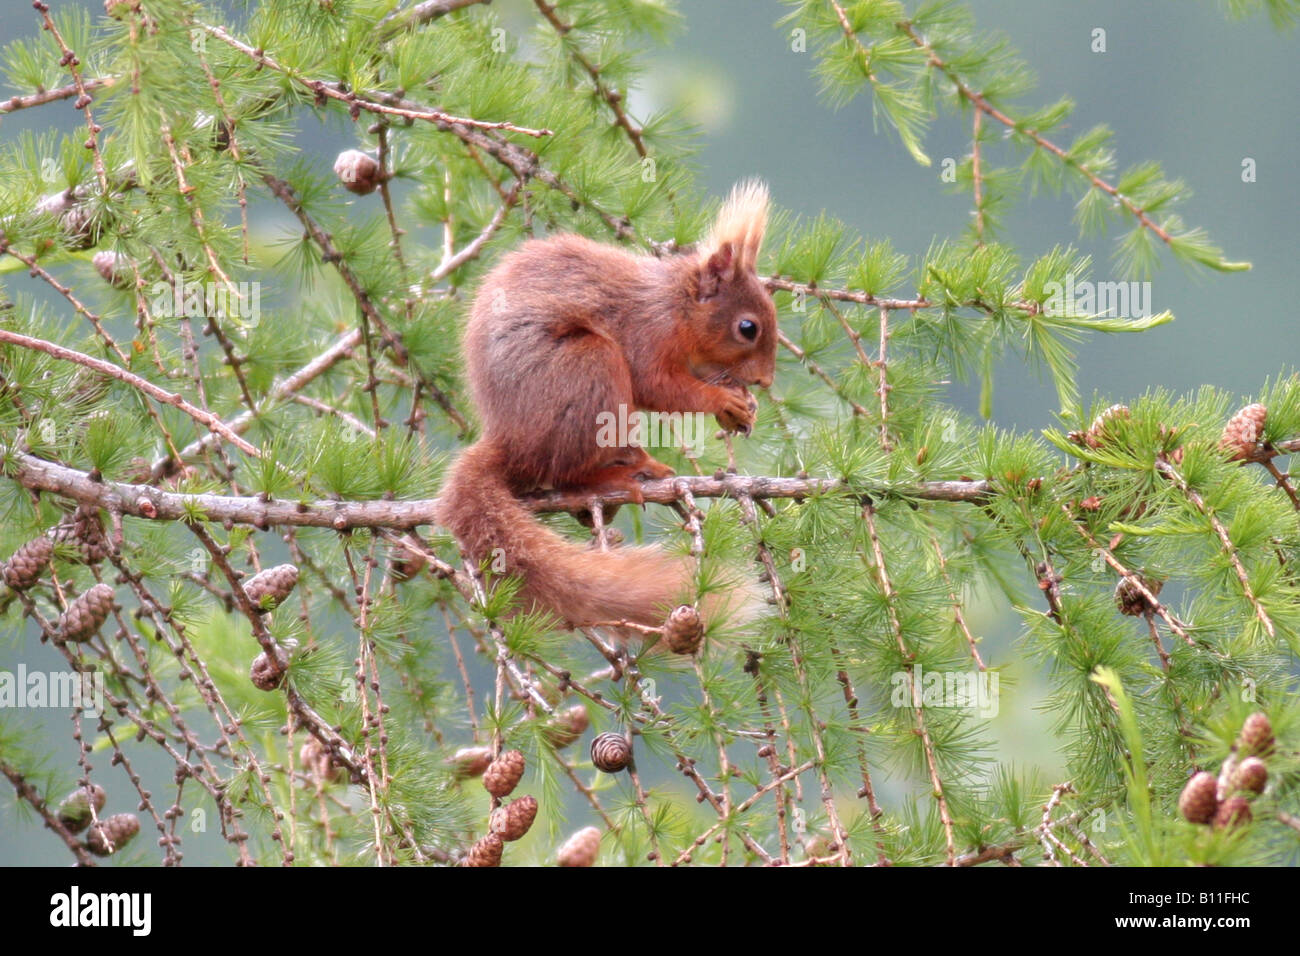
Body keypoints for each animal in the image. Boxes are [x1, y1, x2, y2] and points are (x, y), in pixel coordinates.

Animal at [436, 180, 776, 633]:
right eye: (747, 327)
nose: (766, 380)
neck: (677, 304)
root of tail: (512, 443)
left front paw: (741, 405)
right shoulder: (648, 332)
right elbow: (660, 387)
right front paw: (723, 400)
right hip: (591, 369)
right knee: (564, 476)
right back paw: (615, 477)